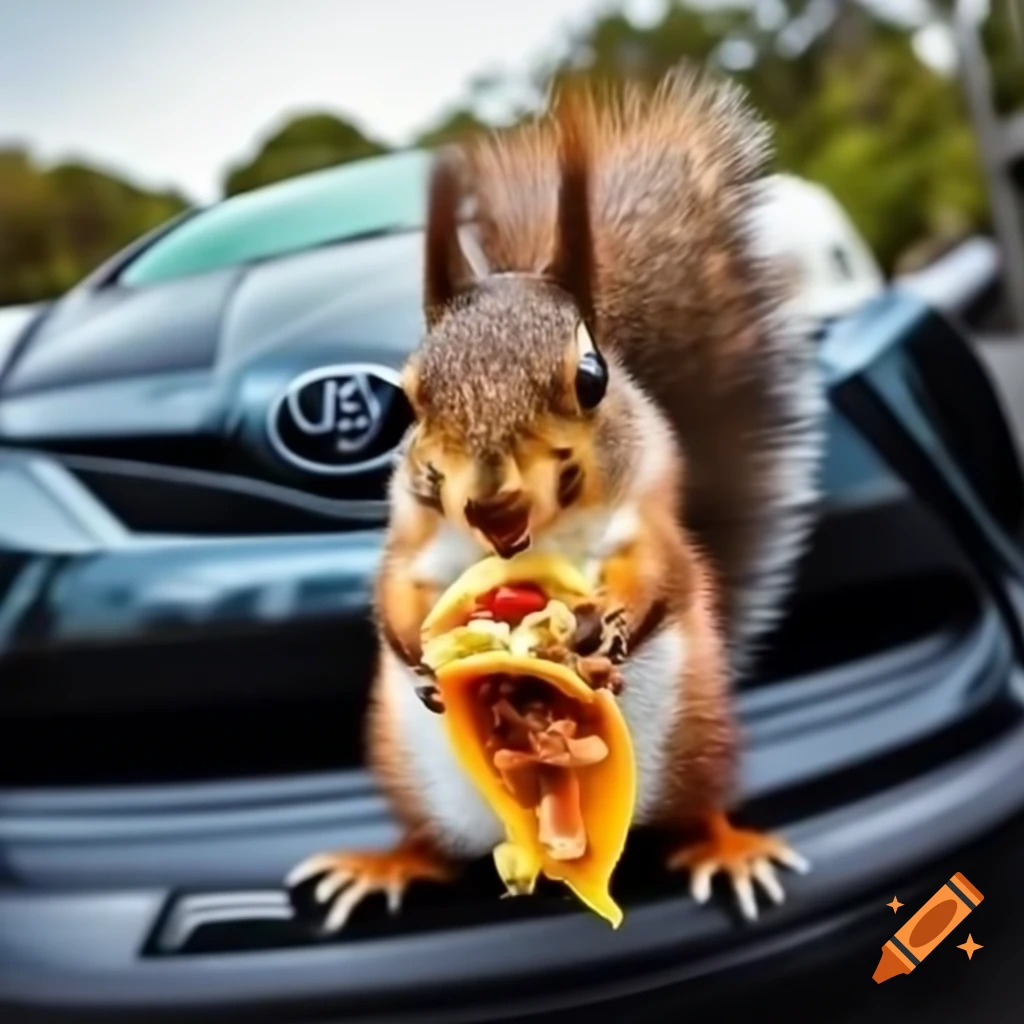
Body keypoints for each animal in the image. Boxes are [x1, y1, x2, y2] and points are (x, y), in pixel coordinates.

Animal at [287, 65, 825, 929]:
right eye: (407, 400)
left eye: (591, 376)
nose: (492, 504)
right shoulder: (411, 543)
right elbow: (394, 593)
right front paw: (419, 655)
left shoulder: (650, 521)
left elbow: (660, 574)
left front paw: (610, 629)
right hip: (414, 779)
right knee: (433, 848)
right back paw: (383, 865)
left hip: (696, 742)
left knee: (697, 810)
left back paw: (727, 848)